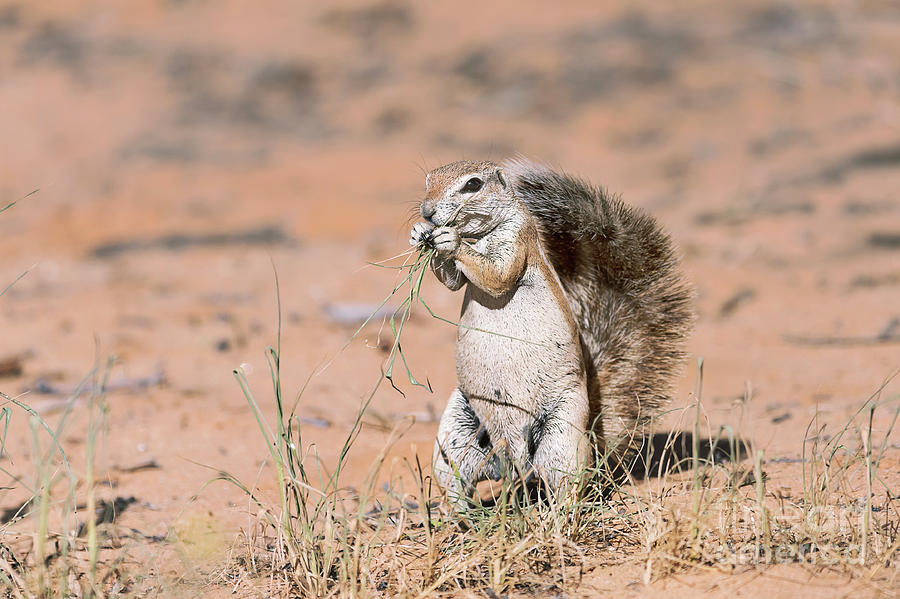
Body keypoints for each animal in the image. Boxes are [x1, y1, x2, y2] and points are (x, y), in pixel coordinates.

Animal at [409, 158, 694, 506]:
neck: (479, 235)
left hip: (561, 439)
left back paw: (560, 513)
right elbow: (452, 282)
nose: (427, 211)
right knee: (460, 482)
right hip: (457, 434)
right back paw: (461, 514)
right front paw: (421, 234)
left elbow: (497, 275)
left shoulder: (516, 238)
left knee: (563, 484)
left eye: (473, 184)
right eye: (428, 180)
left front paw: (450, 240)